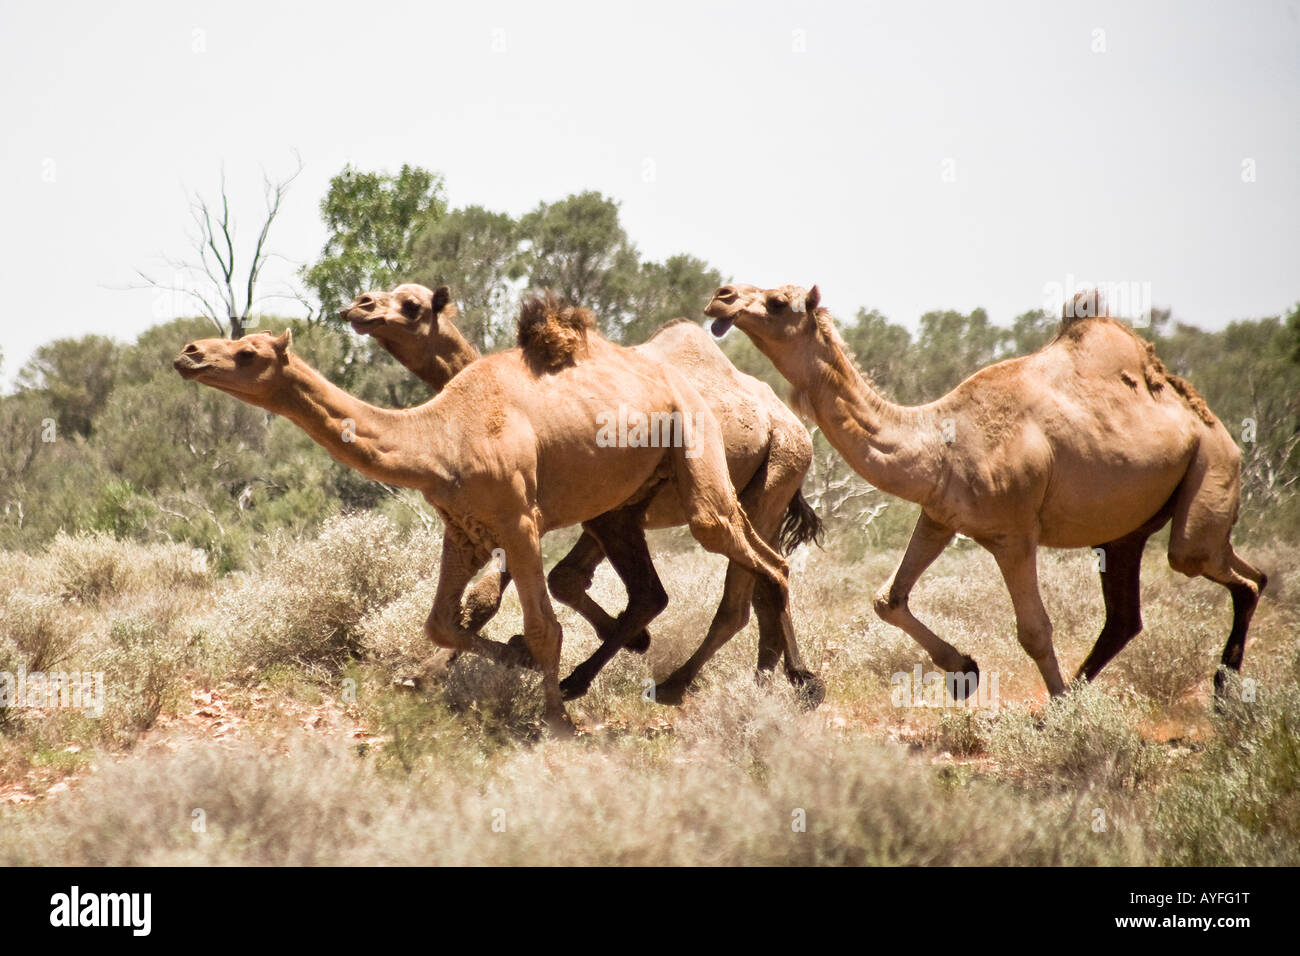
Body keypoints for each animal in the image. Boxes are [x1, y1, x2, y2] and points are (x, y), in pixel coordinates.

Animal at [173, 302, 796, 731]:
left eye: (249, 352)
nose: (190, 353)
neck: (441, 435)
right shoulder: (464, 529)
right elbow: (443, 621)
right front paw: (502, 660)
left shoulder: (519, 520)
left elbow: (544, 627)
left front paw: (555, 721)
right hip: (627, 505)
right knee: (718, 575)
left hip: (699, 450)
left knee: (756, 558)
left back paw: (767, 682)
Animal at [343, 283, 824, 705]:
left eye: (411, 305)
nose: (360, 306)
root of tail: (790, 421)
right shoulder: (588, 508)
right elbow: (561, 580)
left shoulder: (536, 509)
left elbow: (491, 596)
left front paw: (427, 673)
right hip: (764, 495)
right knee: (764, 582)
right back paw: (777, 679)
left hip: (779, 467)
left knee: (740, 596)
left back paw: (678, 684)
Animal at [705, 283, 1266, 700]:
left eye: (778, 301)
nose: (722, 296)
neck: (938, 440)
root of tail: (1211, 424)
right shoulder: (938, 516)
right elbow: (889, 599)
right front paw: (964, 671)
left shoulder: (1013, 534)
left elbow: (1035, 629)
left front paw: (1055, 714)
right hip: (1126, 531)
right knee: (1144, 610)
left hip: (1209, 475)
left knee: (1219, 568)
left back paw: (1216, 688)